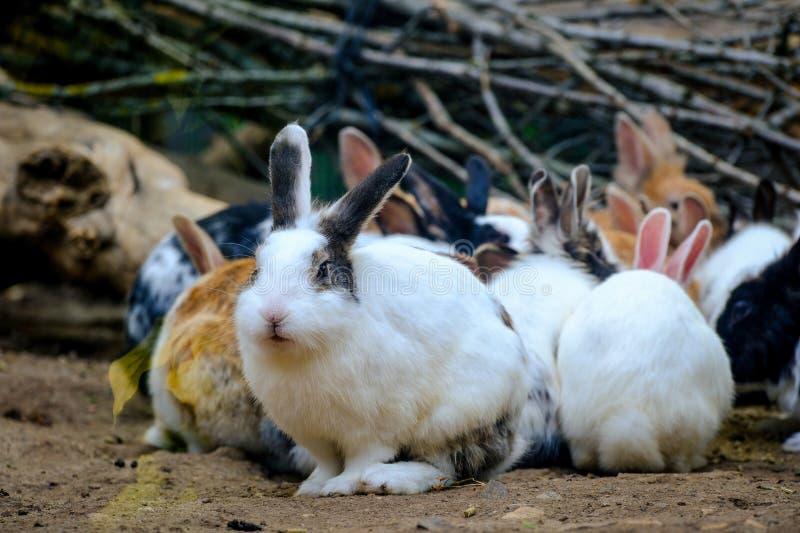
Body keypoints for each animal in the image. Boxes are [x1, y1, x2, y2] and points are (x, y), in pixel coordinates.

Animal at [235, 124, 533, 496]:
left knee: (449, 467)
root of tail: (511, 439)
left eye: (323, 270)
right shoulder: (315, 435)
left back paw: (388, 478)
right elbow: (325, 462)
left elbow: (359, 460)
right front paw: (312, 487)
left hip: (455, 416)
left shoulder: (374, 429)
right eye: (256, 270)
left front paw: (340, 487)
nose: (273, 315)